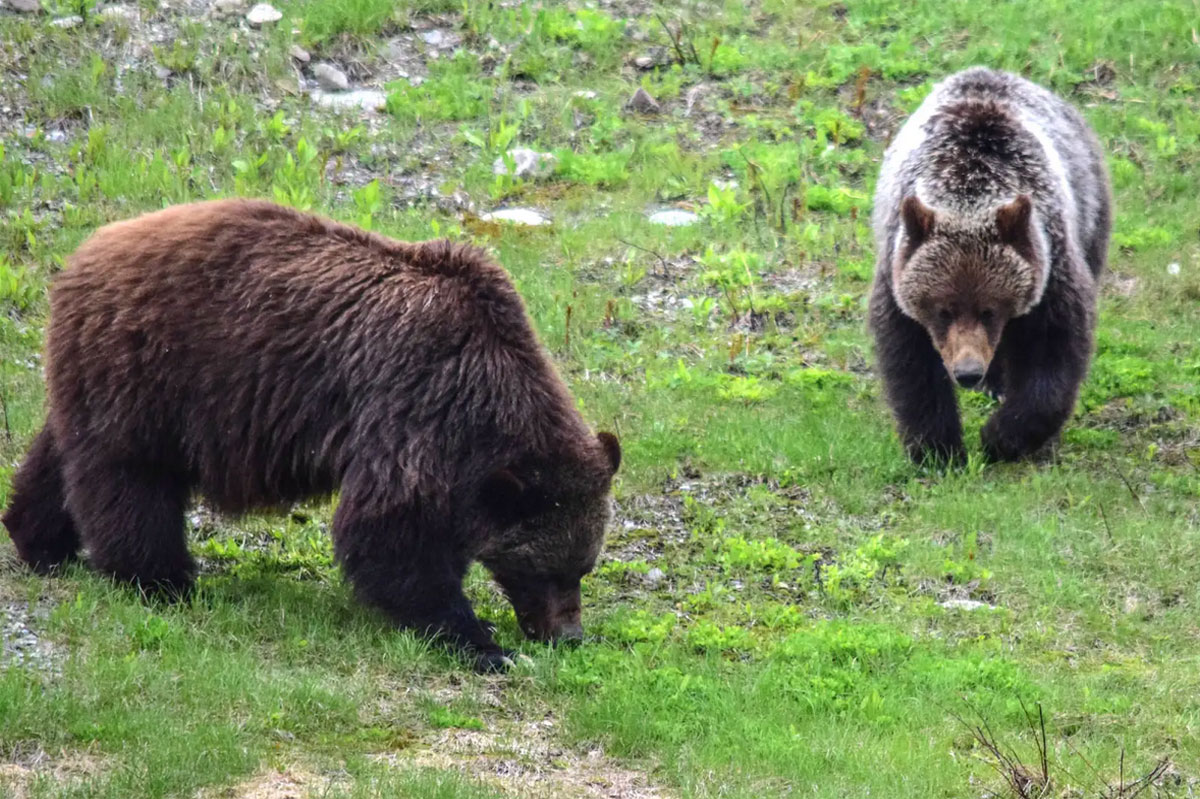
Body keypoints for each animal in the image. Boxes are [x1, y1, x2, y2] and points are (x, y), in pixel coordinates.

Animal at [1, 198, 622, 672]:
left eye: (583, 567)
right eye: (547, 570)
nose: (569, 635)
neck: (484, 387)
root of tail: (83, 254)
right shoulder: (411, 405)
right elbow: (389, 531)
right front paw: (478, 640)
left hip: (107, 379)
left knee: (60, 454)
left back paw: (39, 538)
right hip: (155, 370)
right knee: (130, 479)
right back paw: (160, 580)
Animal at [869, 67, 1112, 464]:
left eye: (990, 310)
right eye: (943, 310)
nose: (968, 373)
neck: (968, 195)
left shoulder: (1051, 265)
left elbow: (1055, 350)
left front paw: (1000, 436)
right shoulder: (897, 271)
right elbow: (910, 359)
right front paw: (938, 448)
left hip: (1090, 205)